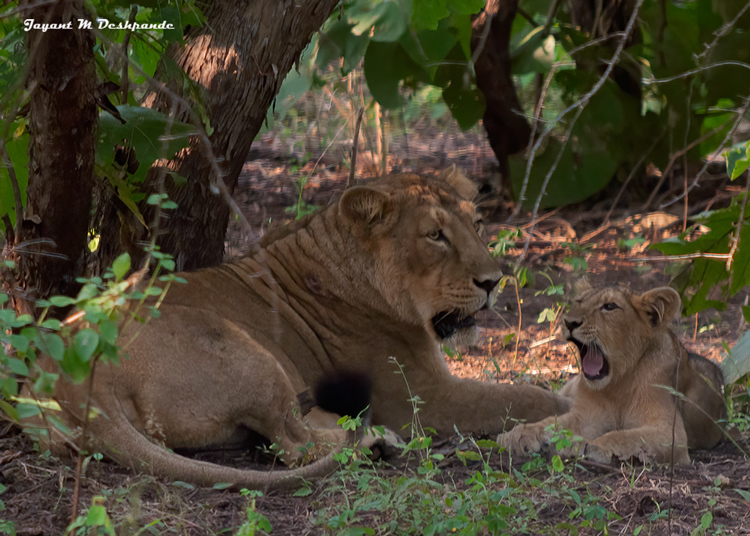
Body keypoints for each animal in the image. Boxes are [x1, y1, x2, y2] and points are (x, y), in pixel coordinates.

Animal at [24, 170, 569, 489]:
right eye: (435, 235)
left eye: (476, 224)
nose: (494, 282)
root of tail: (74, 376)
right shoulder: (426, 400)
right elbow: (522, 396)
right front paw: (561, 414)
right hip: (249, 354)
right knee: (291, 444)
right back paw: (375, 442)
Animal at [499, 282, 725, 464]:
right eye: (579, 301)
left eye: (609, 307)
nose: (569, 322)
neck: (618, 383)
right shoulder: (587, 415)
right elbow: (552, 423)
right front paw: (519, 434)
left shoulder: (671, 434)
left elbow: (624, 436)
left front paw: (592, 446)